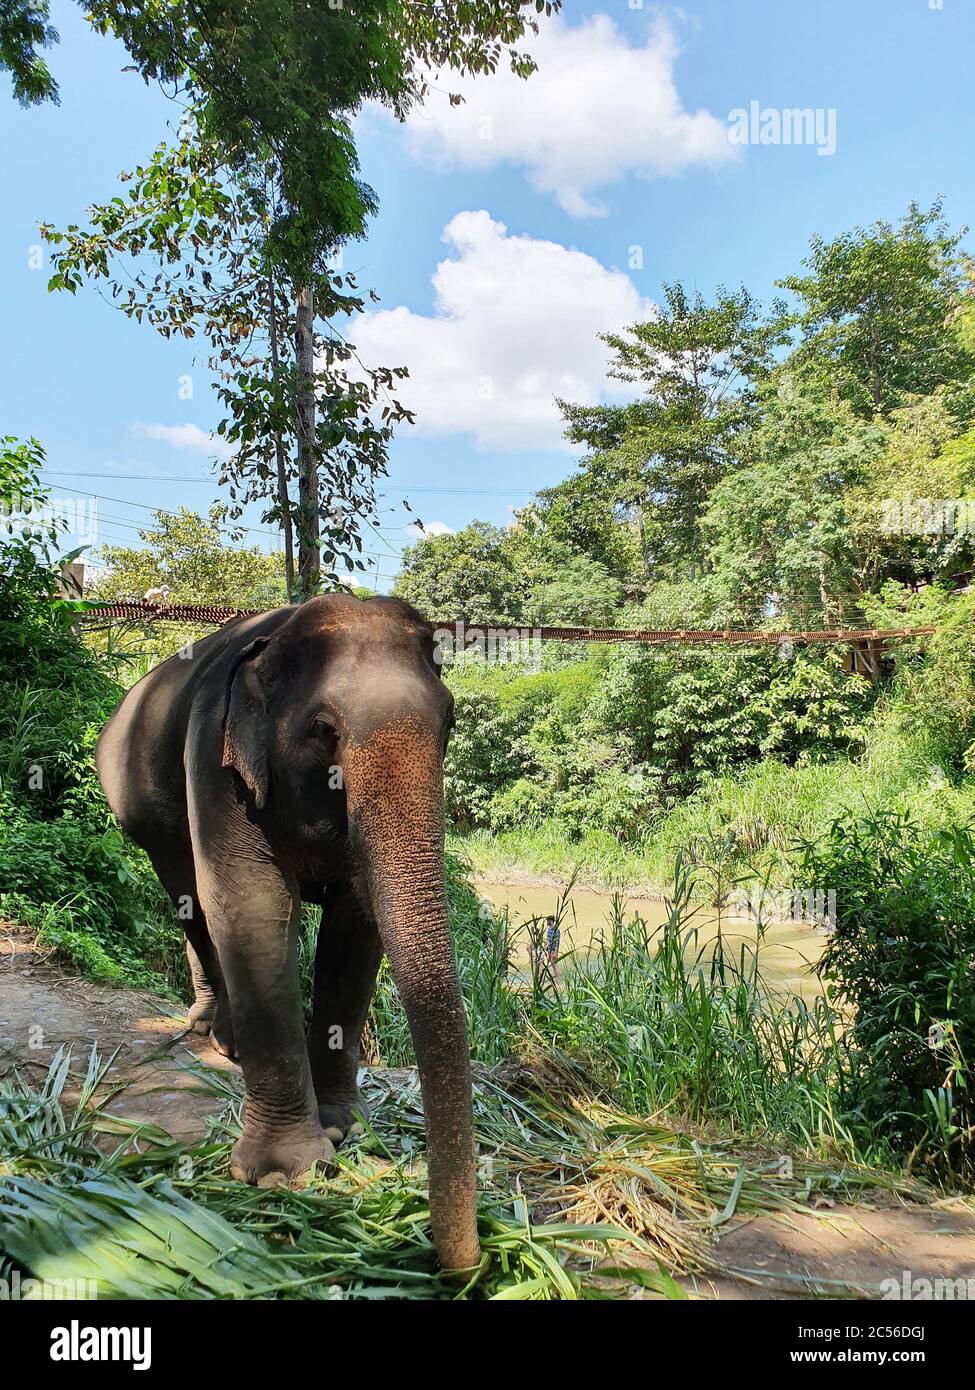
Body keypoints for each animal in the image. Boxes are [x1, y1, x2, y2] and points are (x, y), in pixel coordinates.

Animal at [95, 593, 480, 1272]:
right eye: (324, 732)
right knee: (188, 894)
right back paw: (218, 1036)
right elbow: (251, 904)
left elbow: (355, 924)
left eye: (450, 722)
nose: (467, 1262)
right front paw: (285, 1174)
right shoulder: (214, 756)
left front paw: (344, 1128)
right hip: (141, 803)